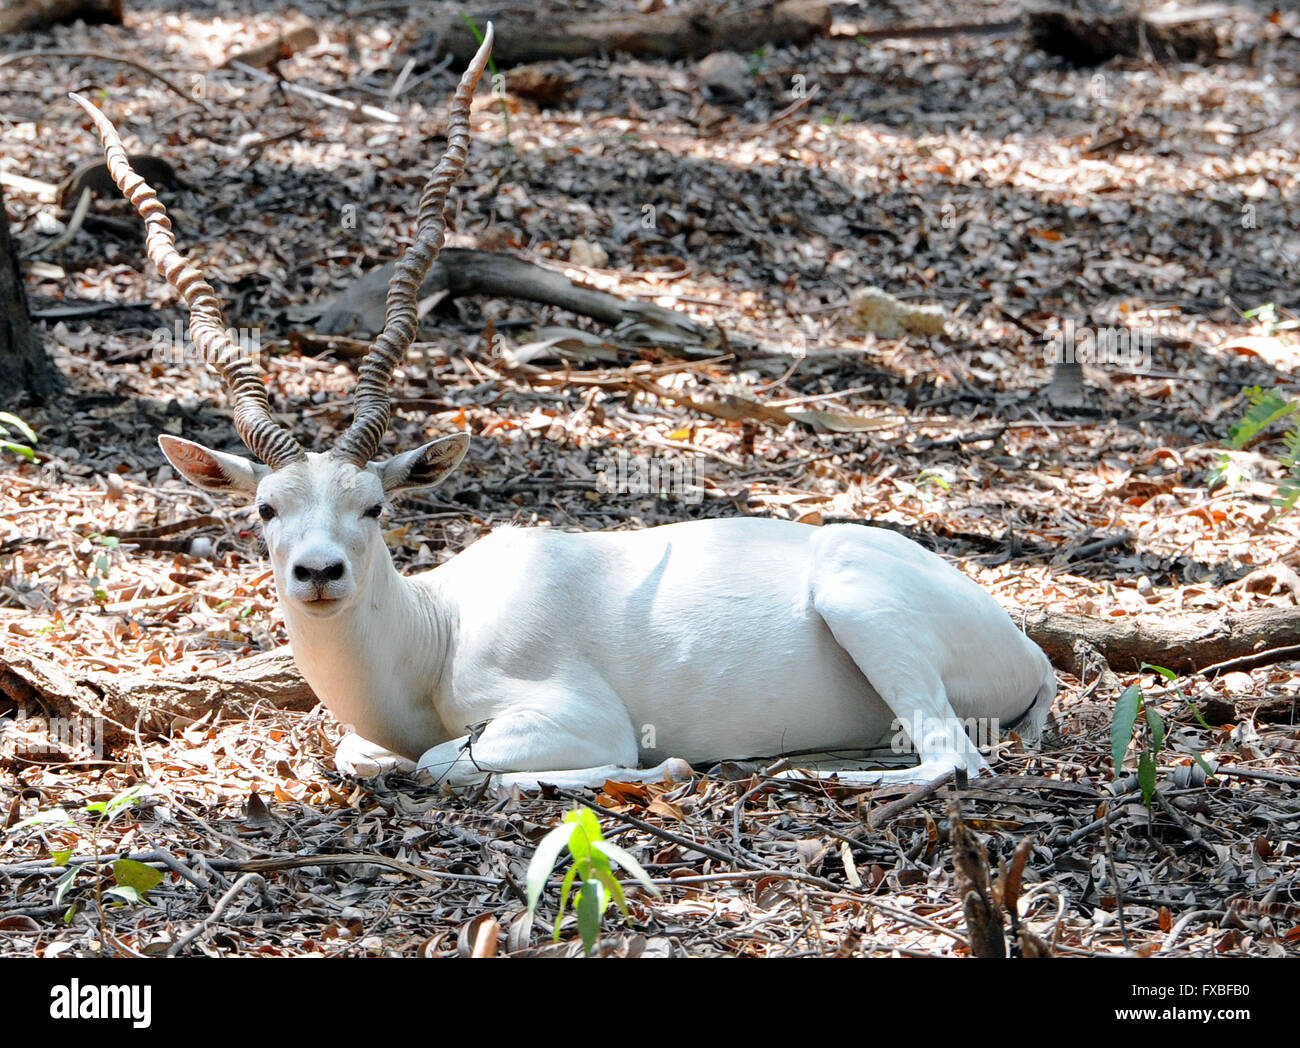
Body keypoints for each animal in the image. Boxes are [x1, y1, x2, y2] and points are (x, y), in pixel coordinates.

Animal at [74, 27, 1056, 791]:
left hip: (865, 610)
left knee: (953, 759)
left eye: (376, 506)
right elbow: (362, 752)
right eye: (266, 509)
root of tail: (1030, 649)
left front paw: (657, 767)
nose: (320, 573)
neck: (437, 633)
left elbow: (450, 762)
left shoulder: (574, 714)